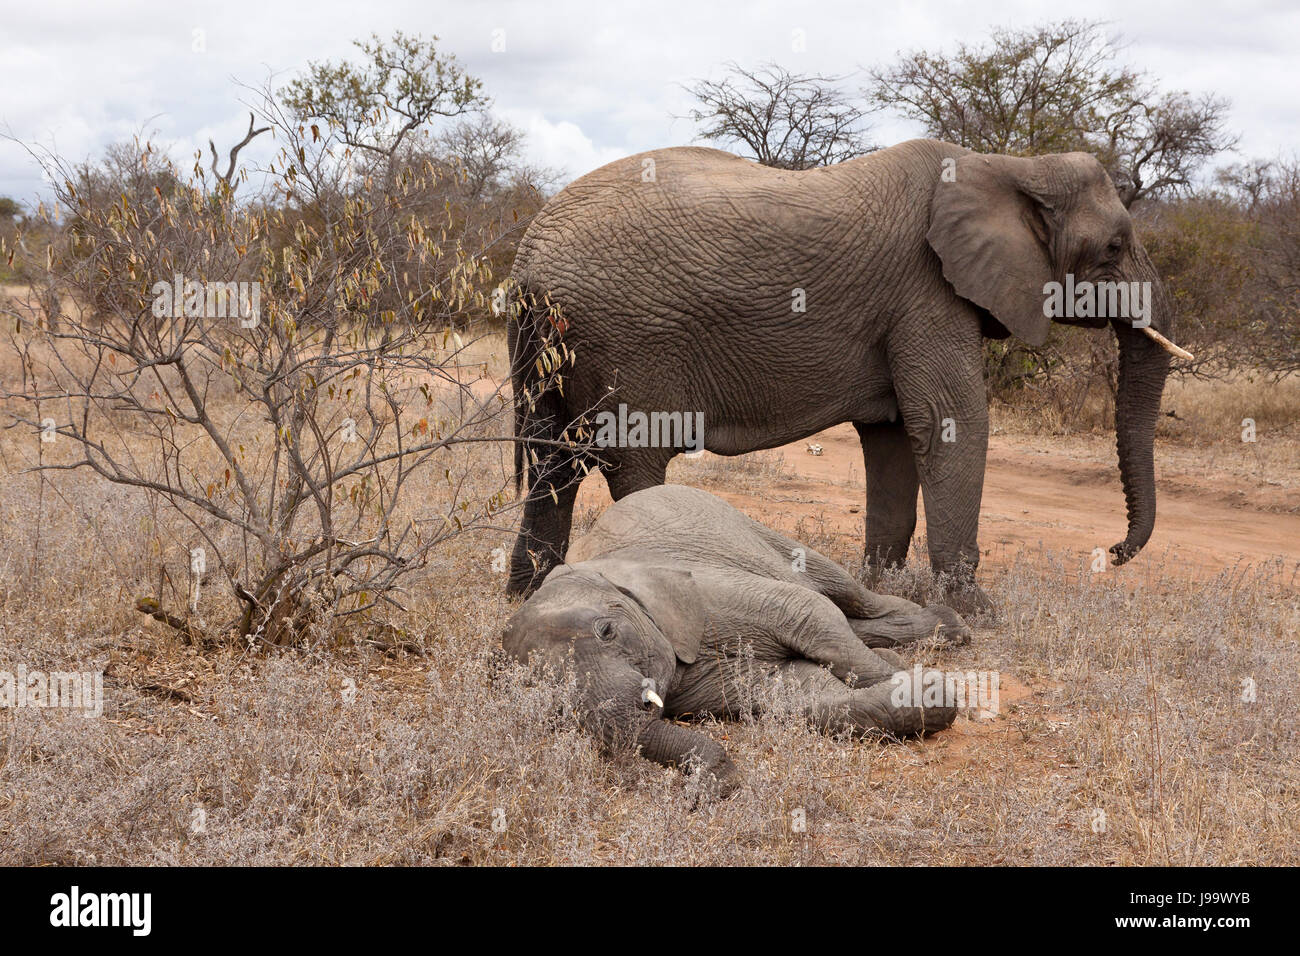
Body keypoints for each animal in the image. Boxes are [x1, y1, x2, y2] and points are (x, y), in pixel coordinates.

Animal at [501, 483, 971, 789]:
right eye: (553, 703)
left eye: (606, 631)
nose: (696, 793)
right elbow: (800, 696)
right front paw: (914, 687)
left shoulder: (708, 591)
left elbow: (808, 615)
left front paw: (912, 679)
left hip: (755, 531)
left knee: (840, 592)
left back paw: (948, 627)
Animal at [505, 138, 1193, 610]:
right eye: (1113, 248)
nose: (1114, 552)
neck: (1010, 166)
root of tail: (526, 260)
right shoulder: (927, 292)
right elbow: (952, 421)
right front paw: (977, 613)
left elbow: (894, 437)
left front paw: (882, 592)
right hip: (628, 337)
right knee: (634, 465)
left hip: (554, 353)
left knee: (552, 464)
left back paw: (527, 597)